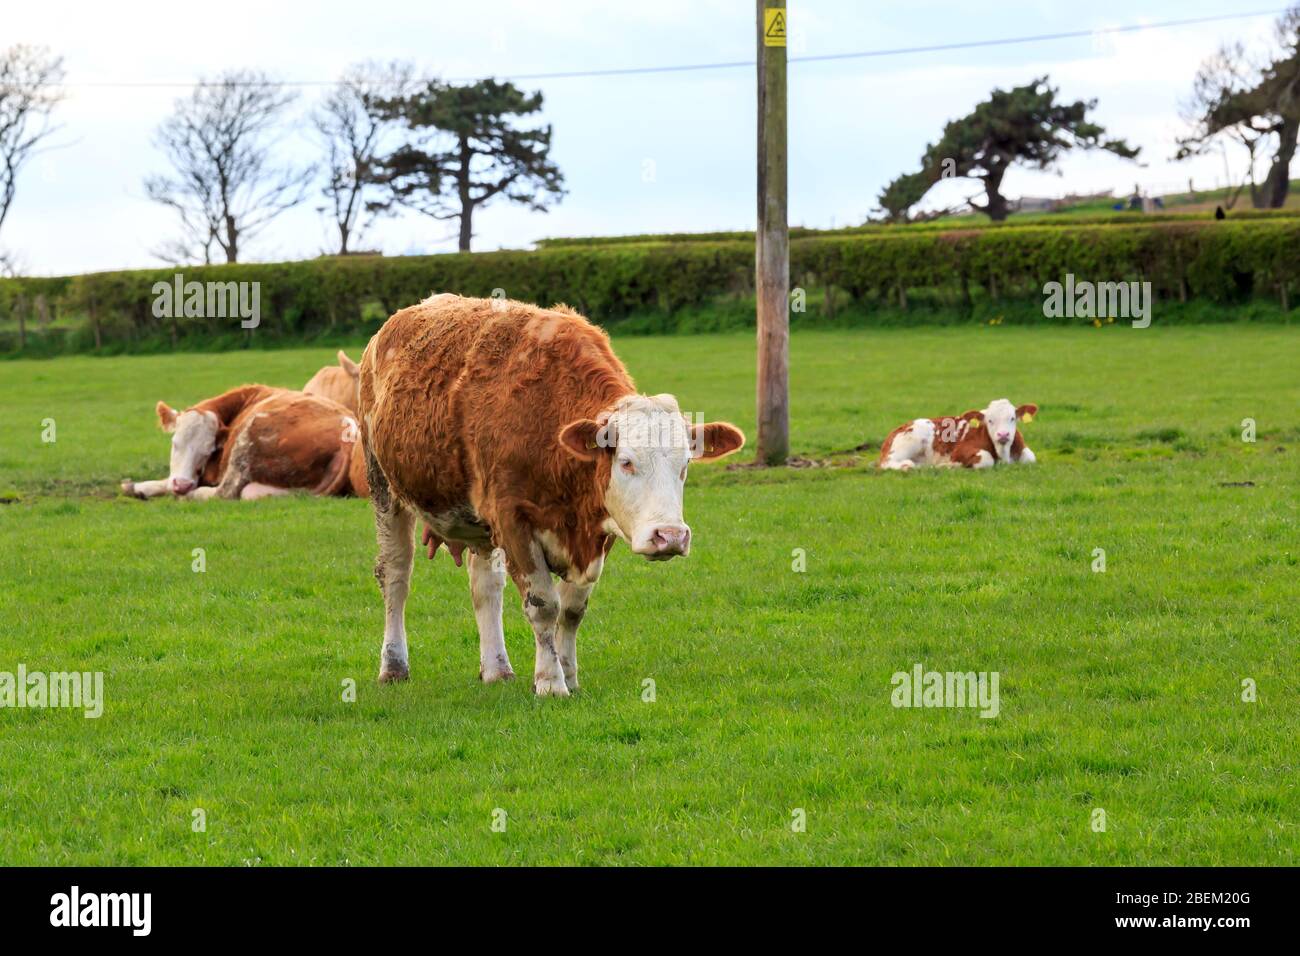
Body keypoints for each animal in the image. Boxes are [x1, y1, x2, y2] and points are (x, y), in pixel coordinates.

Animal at [121, 385, 364, 500]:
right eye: (175, 443)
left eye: (208, 451)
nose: (182, 484)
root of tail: (347, 441)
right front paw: (136, 487)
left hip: (247, 442)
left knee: (224, 493)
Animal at [359, 293, 746, 696]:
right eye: (626, 462)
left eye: (684, 465)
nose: (669, 536)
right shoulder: (513, 520)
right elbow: (544, 605)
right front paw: (550, 681)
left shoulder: (598, 528)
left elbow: (572, 609)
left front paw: (568, 674)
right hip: (383, 485)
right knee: (395, 576)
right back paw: (394, 665)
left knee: (486, 586)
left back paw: (496, 667)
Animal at [878, 398, 1039, 471]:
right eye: (990, 420)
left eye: (1012, 418)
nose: (1003, 434)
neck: (1003, 455)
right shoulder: (959, 451)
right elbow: (986, 458)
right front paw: (953, 465)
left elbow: (1030, 457)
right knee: (888, 463)